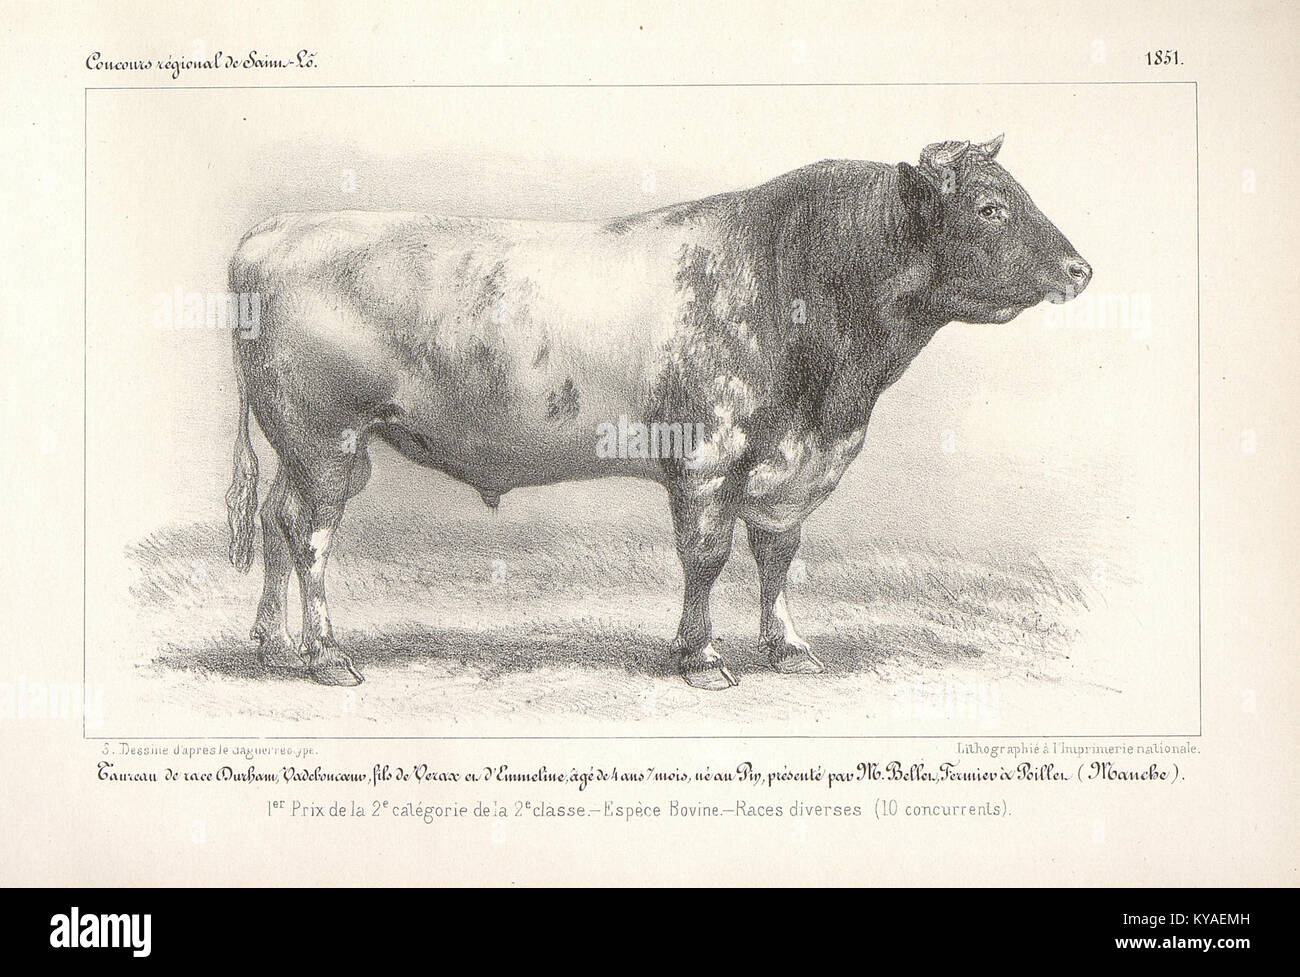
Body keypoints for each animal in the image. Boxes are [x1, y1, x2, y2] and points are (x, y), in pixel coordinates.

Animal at [225, 135, 1091, 689]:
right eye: (990, 207)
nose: (1080, 268)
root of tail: (276, 229)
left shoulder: (790, 467)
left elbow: (777, 556)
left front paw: (788, 648)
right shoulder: (708, 456)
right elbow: (706, 555)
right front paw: (701, 659)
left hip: (304, 444)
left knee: (274, 519)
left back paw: (272, 645)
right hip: (328, 437)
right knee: (310, 534)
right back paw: (326, 656)